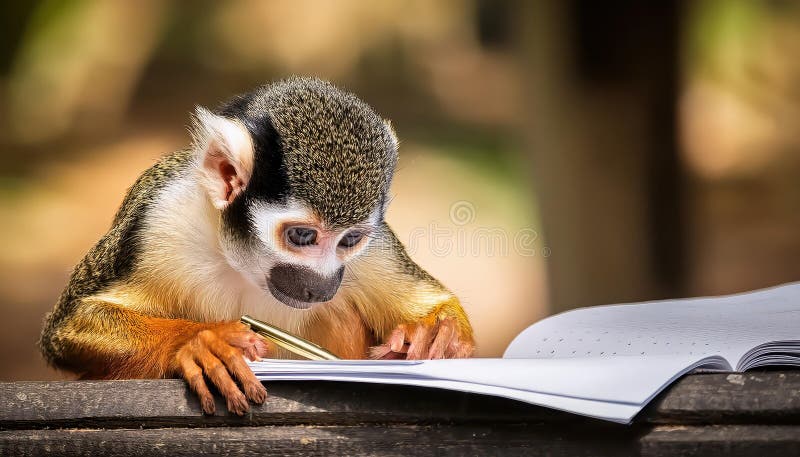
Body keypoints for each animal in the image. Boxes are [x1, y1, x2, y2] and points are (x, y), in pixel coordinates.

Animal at [39, 77, 475, 415]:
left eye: (350, 239)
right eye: (303, 236)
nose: (321, 286)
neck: (243, 261)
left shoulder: (375, 241)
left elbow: (435, 303)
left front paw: (436, 336)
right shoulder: (156, 217)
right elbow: (68, 327)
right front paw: (198, 341)